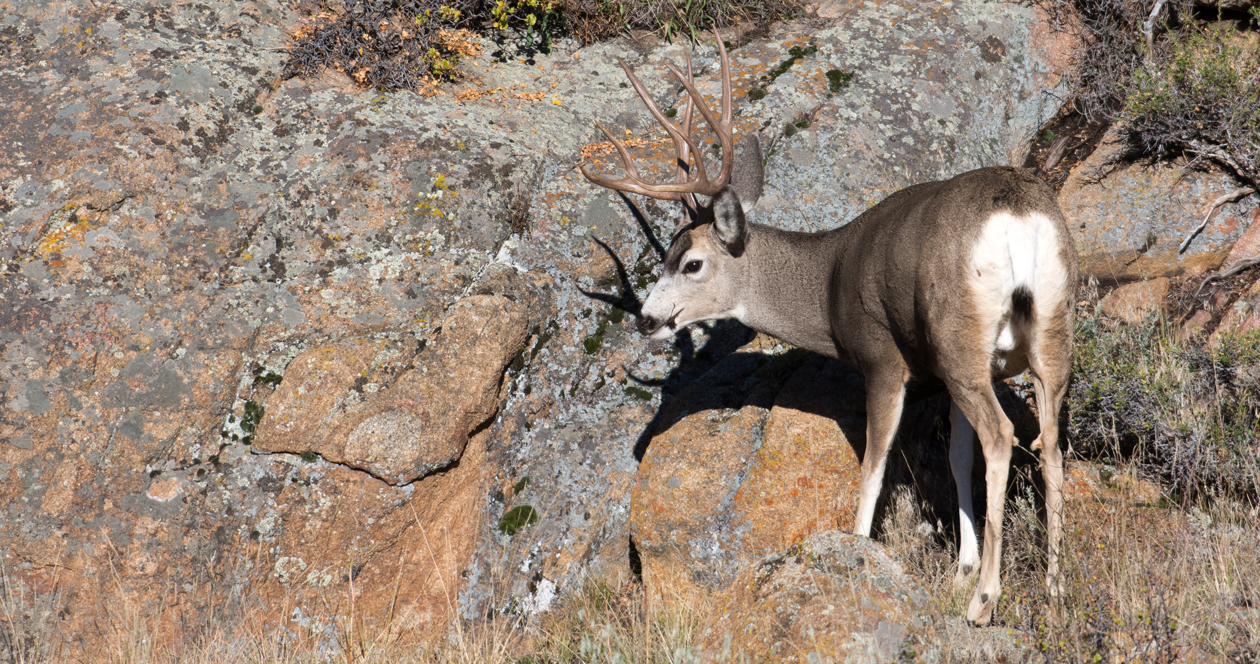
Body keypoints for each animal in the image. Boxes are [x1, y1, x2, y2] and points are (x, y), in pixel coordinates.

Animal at [578, 33, 1078, 626]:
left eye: (692, 263)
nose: (647, 320)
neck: (829, 278)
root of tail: (1018, 219)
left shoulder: (884, 360)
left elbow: (874, 467)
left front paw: (861, 552)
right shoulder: (951, 376)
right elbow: (958, 458)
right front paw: (961, 570)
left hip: (958, 340)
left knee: (1002, 436)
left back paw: (985, 602)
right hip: (1046, 336)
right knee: (1050, 444)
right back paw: (1054, 591)